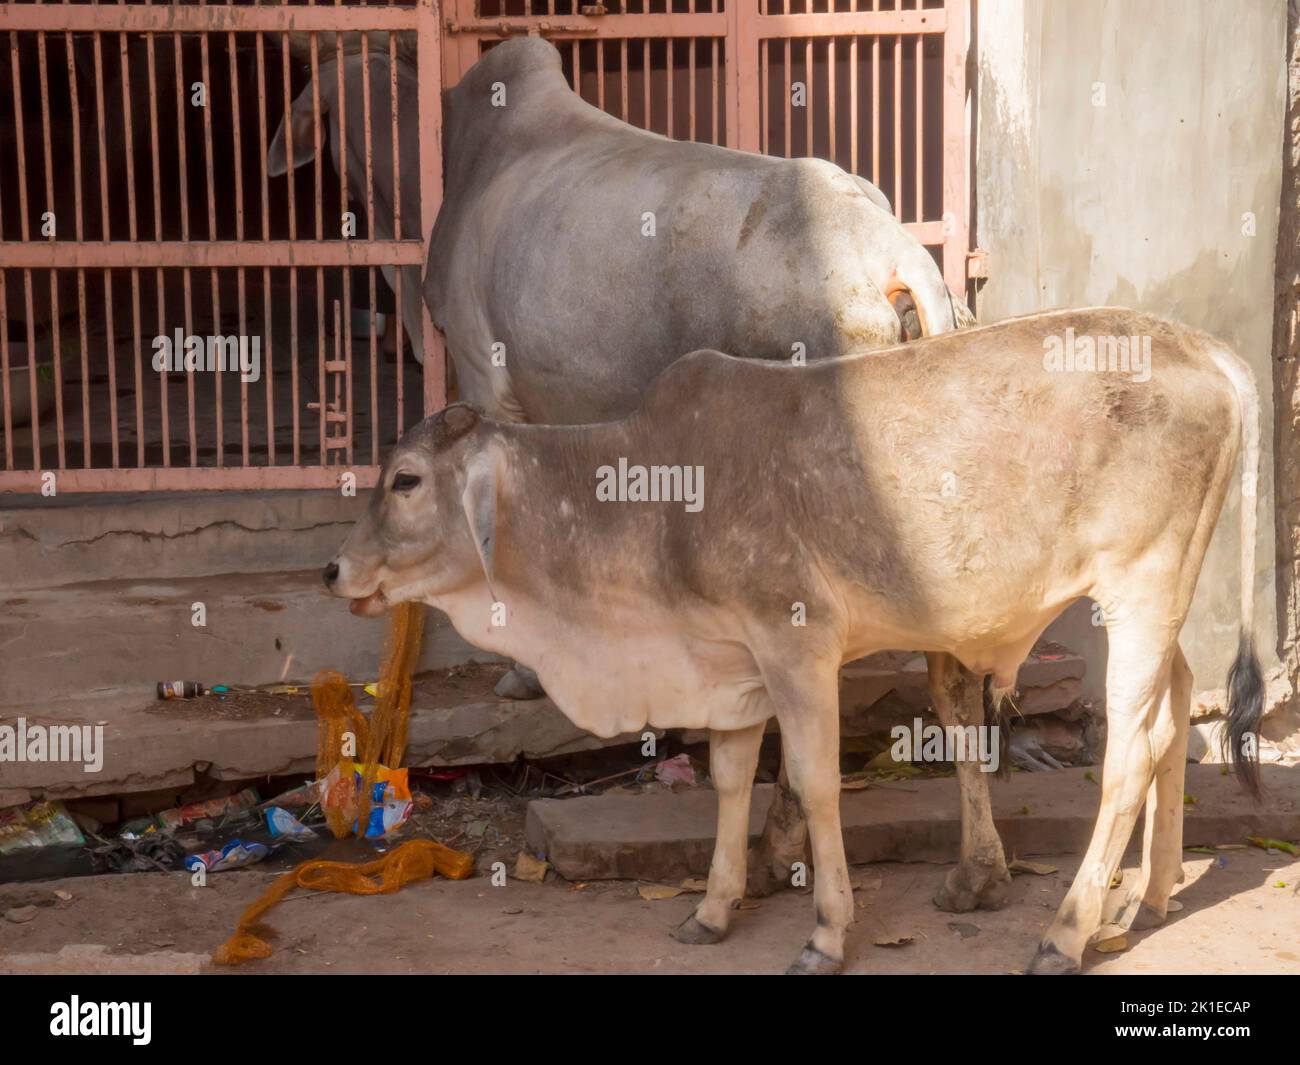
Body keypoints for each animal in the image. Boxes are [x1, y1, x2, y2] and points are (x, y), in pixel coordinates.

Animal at [324, 307, 1263, 974]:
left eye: (406, 480)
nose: (335, 568)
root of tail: (1211, 350)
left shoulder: (796, 646)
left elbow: (813, 785)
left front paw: (825, 934)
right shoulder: (730, 662)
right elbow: (732, 778)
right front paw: (713, 909)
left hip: (1140, 588)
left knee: (1129, 753)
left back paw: (1066, 932)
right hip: (1159, 600)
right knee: (1175, 716)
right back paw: (1142, 903)